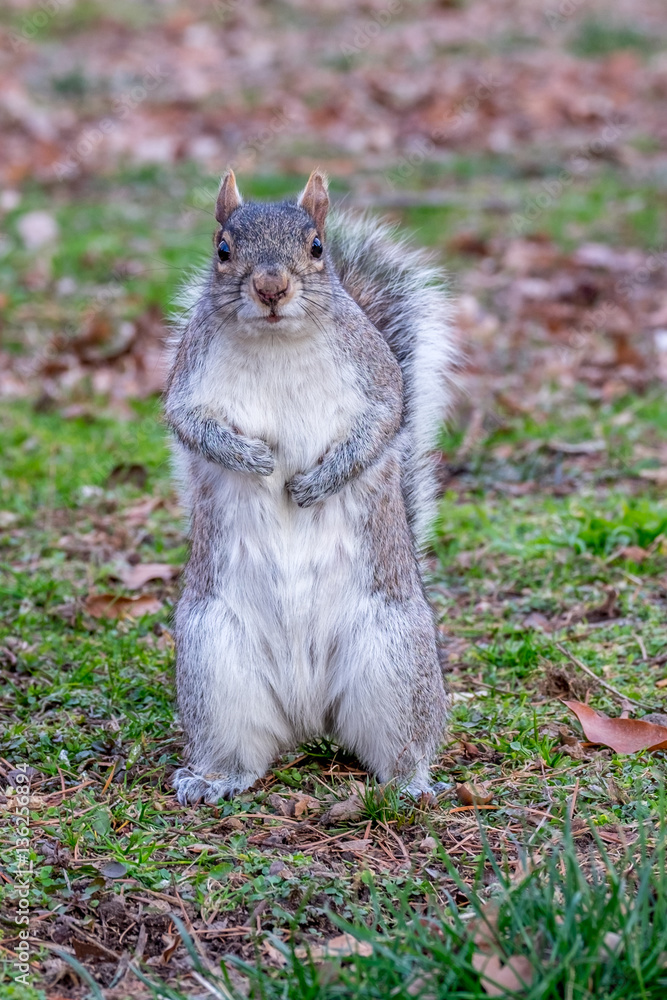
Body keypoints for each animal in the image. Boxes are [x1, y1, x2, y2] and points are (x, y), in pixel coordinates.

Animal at [164, 169, 456, 805]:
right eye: (223, 250)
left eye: (317, 248)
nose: (271, 287)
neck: (278, 341)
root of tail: (307, 718)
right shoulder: (186, 384)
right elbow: (190, 425)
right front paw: (250, 458)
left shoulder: (377, 377)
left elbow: (382, 425)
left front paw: (314, 484)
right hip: (213, 659)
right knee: (237, 748)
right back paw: (212, 780)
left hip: (395, 658)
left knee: (399, 746)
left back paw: (410, 784)